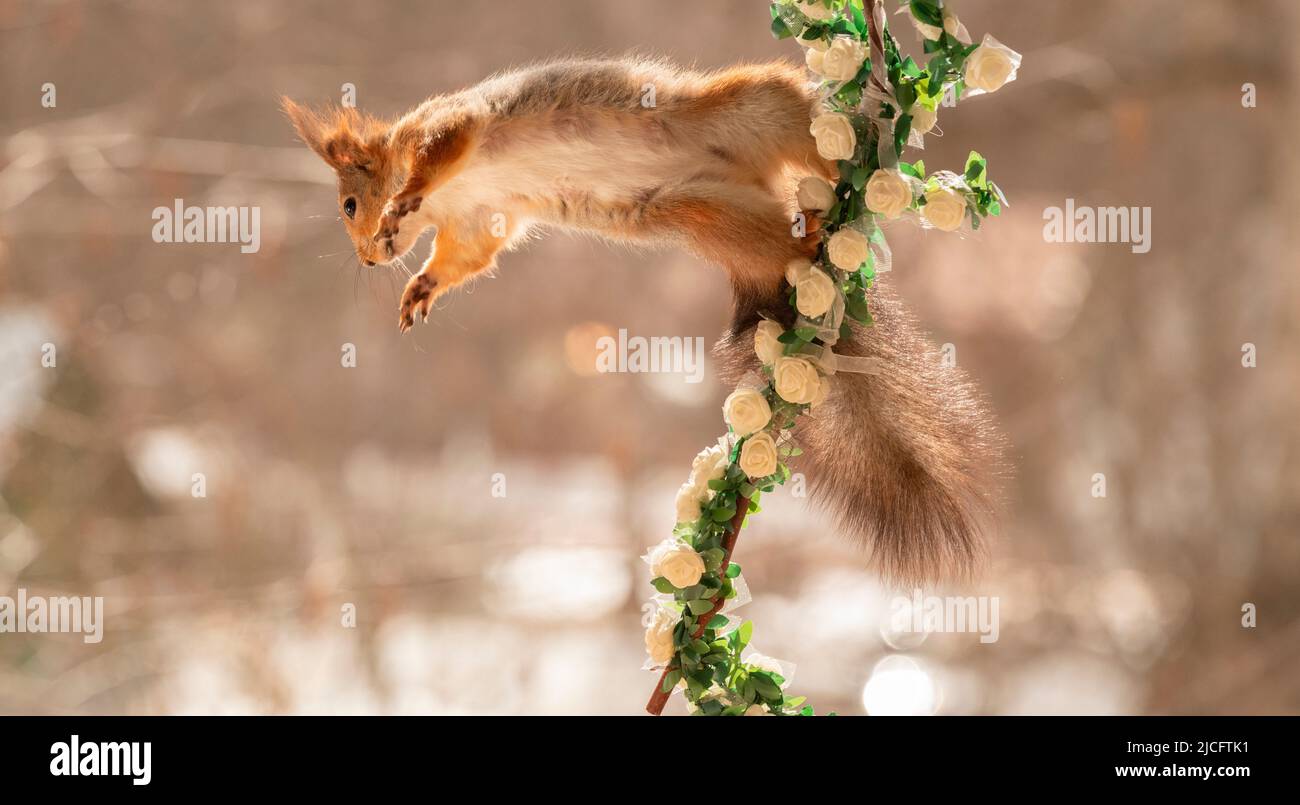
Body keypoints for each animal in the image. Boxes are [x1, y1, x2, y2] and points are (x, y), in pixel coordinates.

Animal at [284, 57, 999, 584]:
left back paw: (863, 155)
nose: (369, 258)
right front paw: (421, 288)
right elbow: (470, 255)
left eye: (349, 204)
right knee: (781, 241)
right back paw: (813, 231)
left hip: (759, 109)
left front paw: (404, 199)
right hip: (708, 212)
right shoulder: (479, 219)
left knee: (809, 130)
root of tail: (759, 181)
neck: (440, 203)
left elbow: (442, 151)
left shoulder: (449, 131)